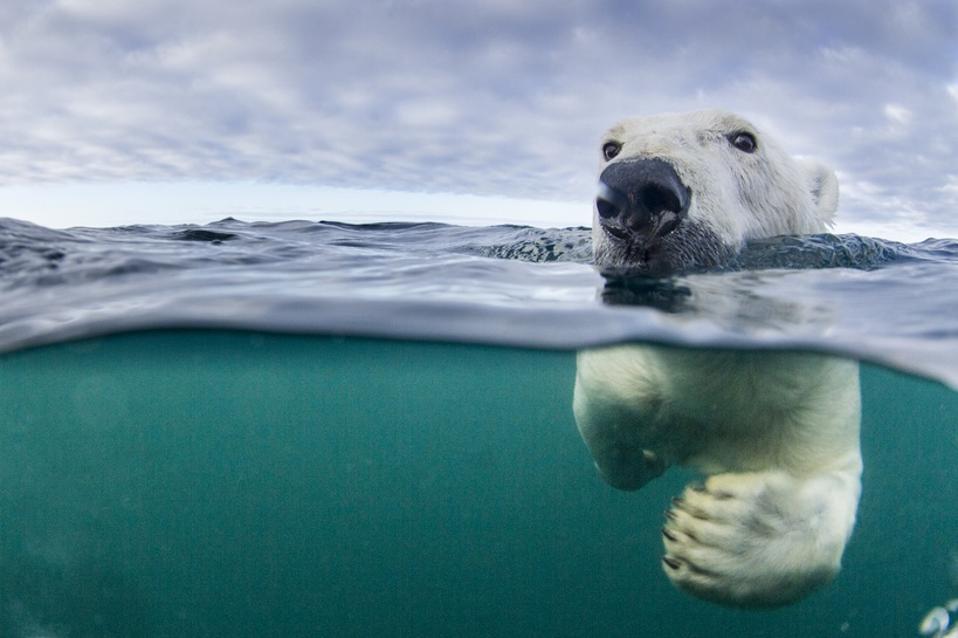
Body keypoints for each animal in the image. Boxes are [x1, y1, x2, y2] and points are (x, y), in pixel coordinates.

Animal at [573, 110, 861, 608]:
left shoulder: (817, 385)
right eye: (611, 147)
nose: (635, 188)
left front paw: (715, 533)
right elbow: (602, 408)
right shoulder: (625, 366)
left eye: (744, 139)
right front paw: (645, 457)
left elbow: (828, 475)